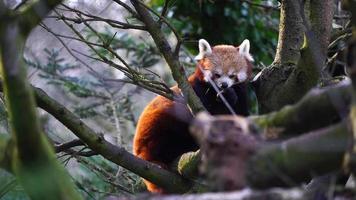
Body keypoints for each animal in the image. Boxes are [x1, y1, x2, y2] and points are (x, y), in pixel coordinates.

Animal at [133, 38, 253, 193]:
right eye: (217, 75)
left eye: (232, 75)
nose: (224, 85)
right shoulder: (195, 93)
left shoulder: (241, 96)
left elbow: (239, 114)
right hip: (157, 127)